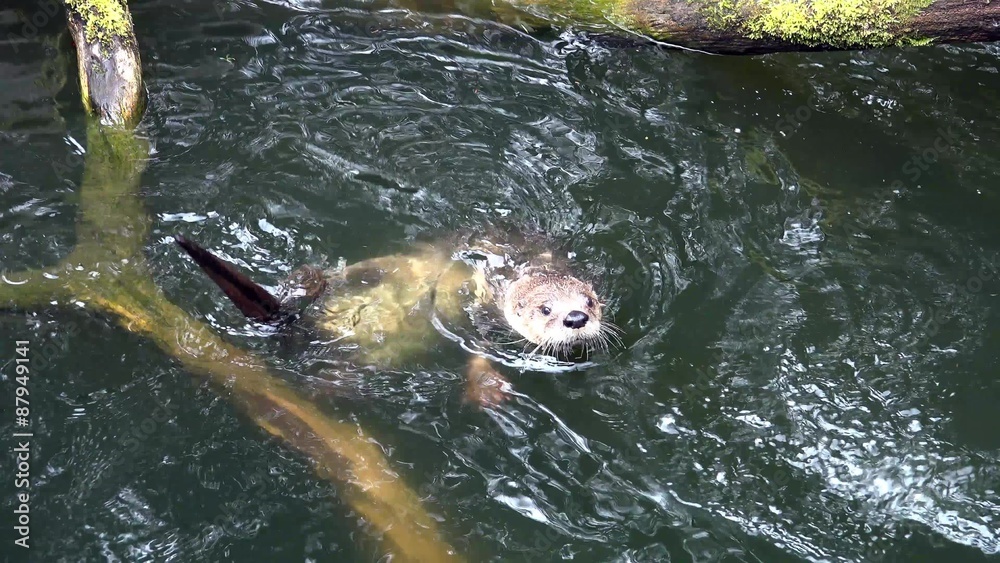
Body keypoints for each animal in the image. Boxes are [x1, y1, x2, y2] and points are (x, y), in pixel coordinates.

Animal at [174, 233, 618, 406]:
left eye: (590, 301)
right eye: (546, 309)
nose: (576, 317)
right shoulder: (479, 312)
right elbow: (477, 351)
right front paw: (489, 388)